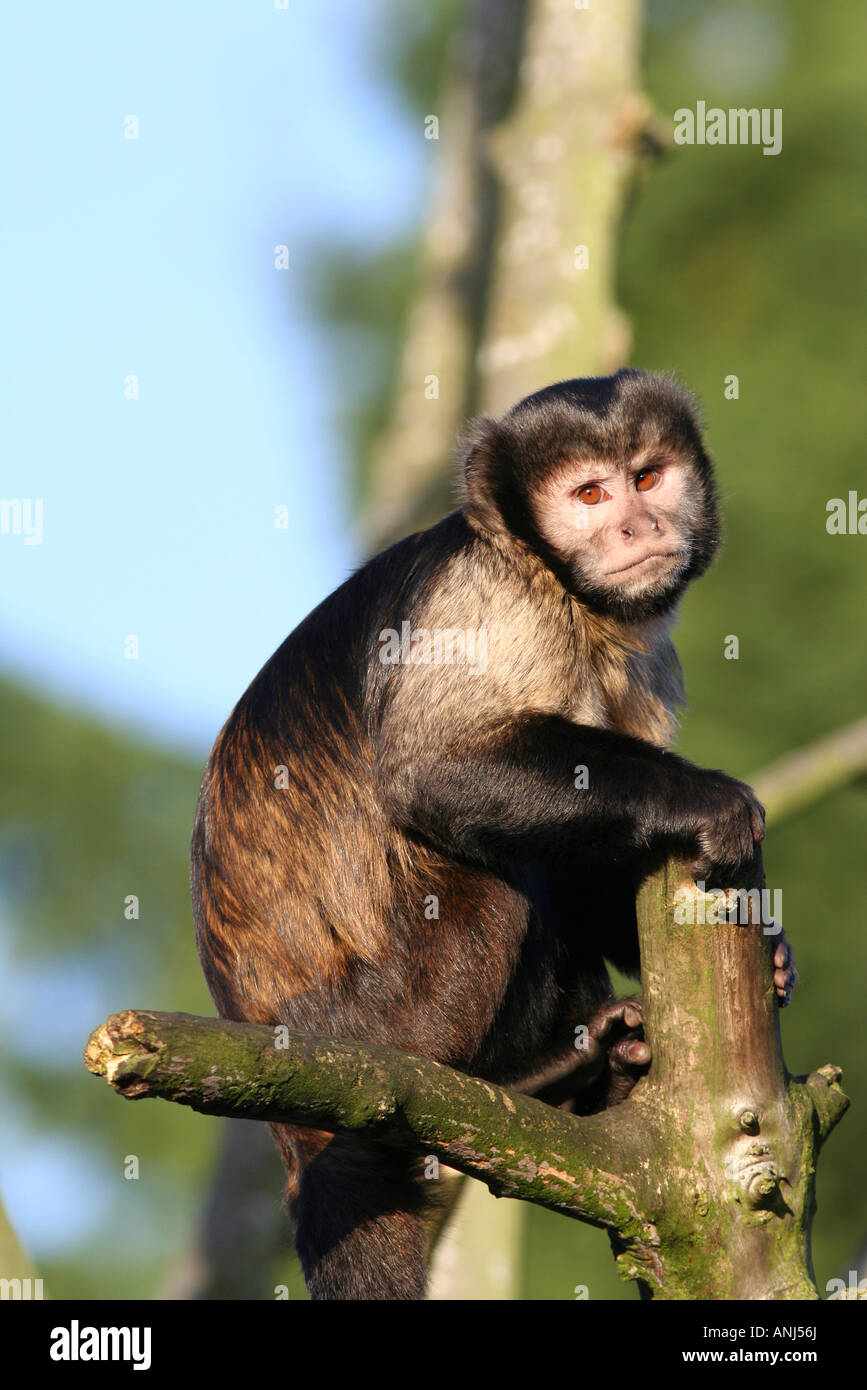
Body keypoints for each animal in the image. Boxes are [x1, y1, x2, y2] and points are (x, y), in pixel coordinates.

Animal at [191, 368, 795, 1301]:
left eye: (647, 477)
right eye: (590, 495)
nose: (637, 525)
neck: (561, 590)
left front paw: (769, 951)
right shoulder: (488, 594)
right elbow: (434, 772)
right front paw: (703, 798)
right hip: (377, 1025)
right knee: (497, 872)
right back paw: (524, 1077)